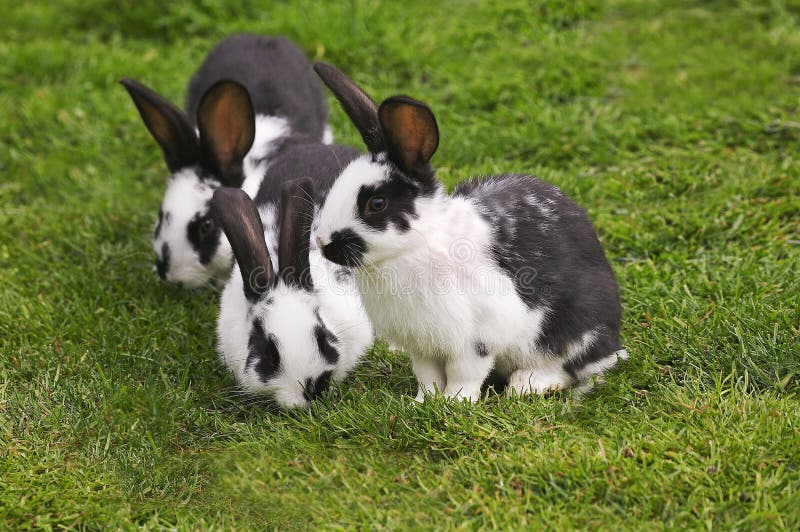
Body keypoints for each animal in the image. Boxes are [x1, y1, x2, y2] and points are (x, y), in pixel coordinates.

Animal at [312, 62, 627, 402]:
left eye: (376, 203)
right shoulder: (420, 345)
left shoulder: (478, 336)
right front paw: (423, 401)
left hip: (572, 332)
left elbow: (464, 372)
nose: (322, 241)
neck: (415, 246)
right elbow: (427, 374)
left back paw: (526, 384)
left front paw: (456, 402)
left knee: (569, 366)